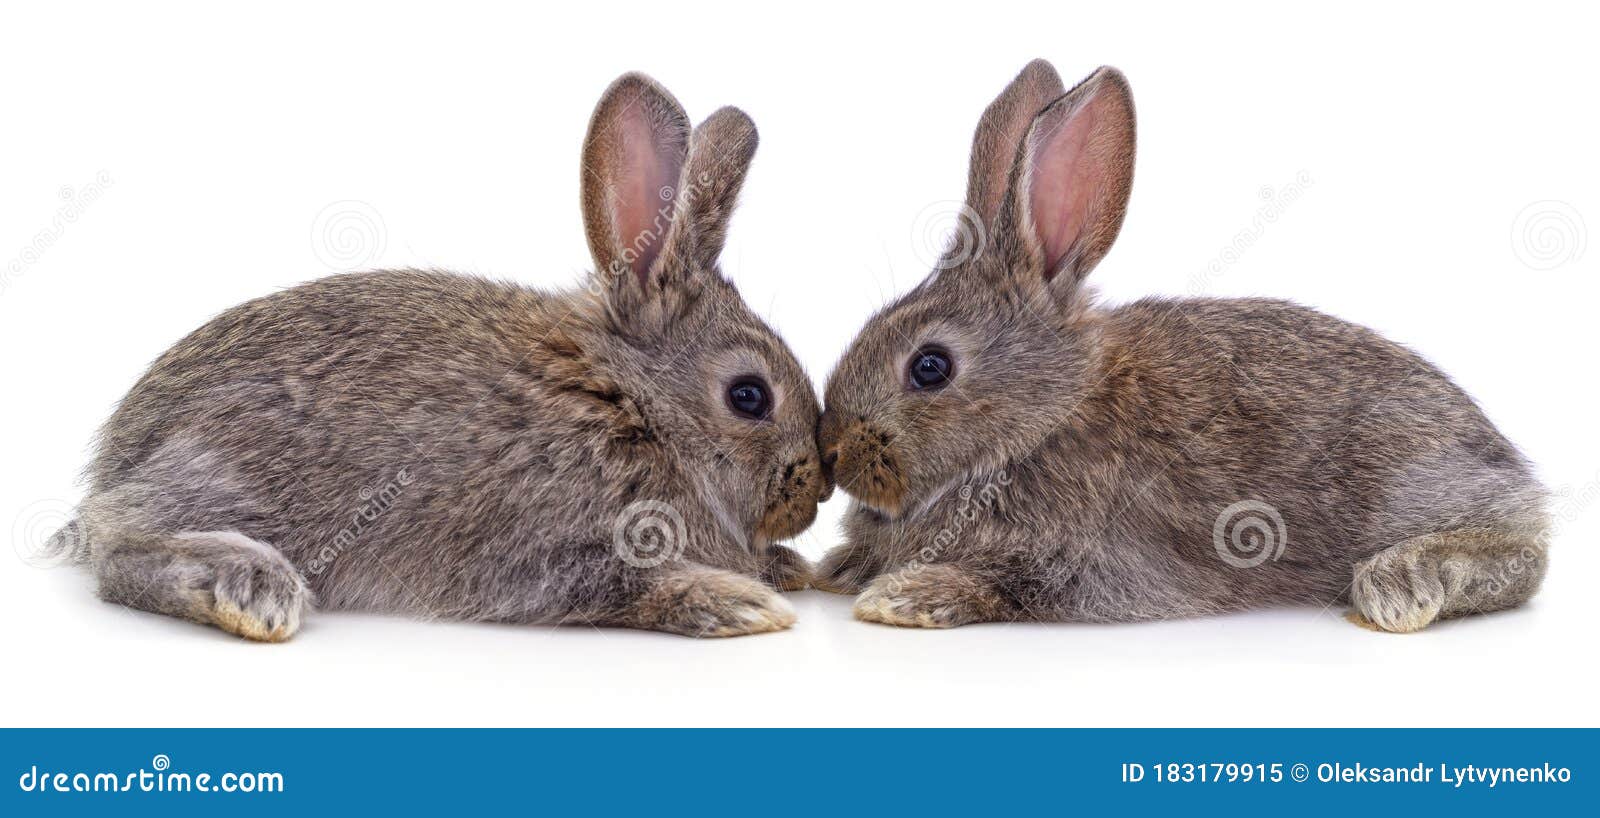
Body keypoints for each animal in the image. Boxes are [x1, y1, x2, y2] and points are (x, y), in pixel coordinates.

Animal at [50, 72, 829, 641]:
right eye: (749, 396)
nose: (817, 488)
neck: (630, 402)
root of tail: (118, 456)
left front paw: (786, 569)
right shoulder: (545, 551)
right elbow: (620, 585)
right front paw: (741, 602)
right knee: (118, 540)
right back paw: (253, 590)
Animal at [814, 60, 1549, 633]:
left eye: (930, 367)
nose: (832, 451)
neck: (1044, 419)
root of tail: (1511, 469)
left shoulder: (1100, 564)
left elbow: (1014, 585)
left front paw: (902, 596)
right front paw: (835, 570)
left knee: (1526, 557)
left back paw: (1396, 585)